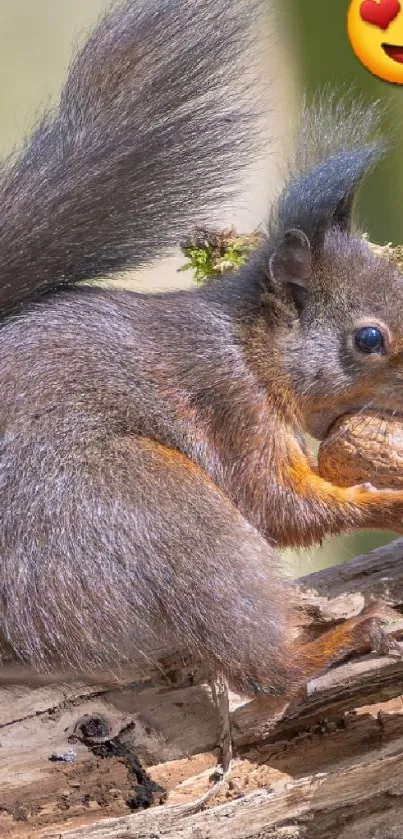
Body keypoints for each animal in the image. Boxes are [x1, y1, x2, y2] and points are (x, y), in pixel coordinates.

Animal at [1, 0, 403, 698]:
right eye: (369, 339)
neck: (250, 348)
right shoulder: (229, 404)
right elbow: (278, 505)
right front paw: (392, 500)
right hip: (148, 509)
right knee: (259, 662)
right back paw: (339, 641)